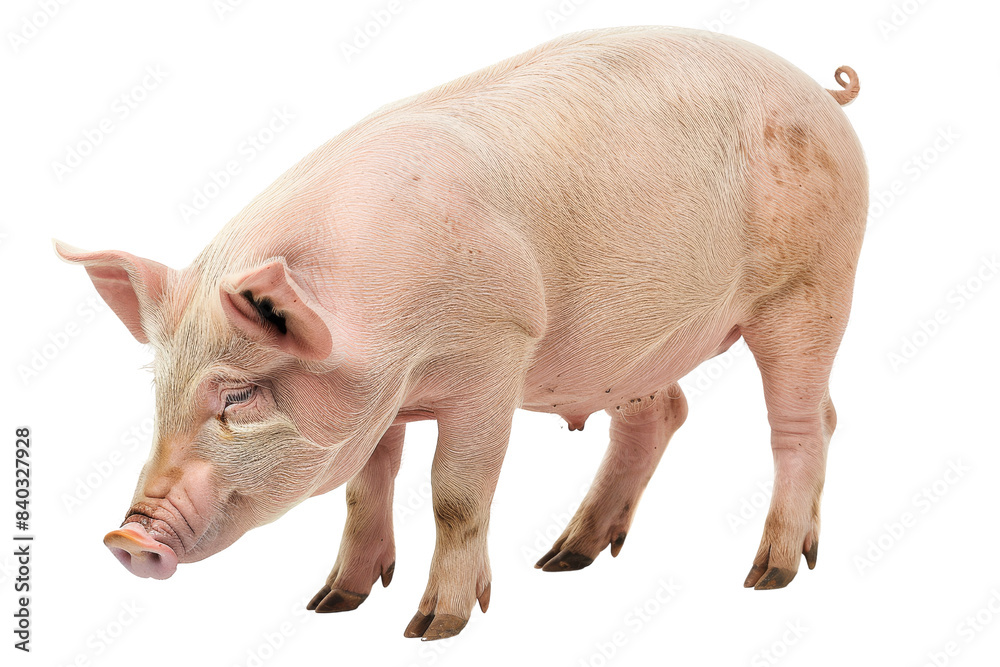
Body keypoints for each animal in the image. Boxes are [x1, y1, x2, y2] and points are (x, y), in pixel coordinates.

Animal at [54, 25, 866, 640]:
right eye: (160, 395)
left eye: (240, 397)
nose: (126, 537)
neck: (394, 353)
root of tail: (823, 94)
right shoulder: (376, 402)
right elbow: (365, 488)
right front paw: (330, 605)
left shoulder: (495, 353)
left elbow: (455, 493)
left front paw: (431, 627)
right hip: (633, 345)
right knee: (663, 413)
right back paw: (564, 559)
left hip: (815, 284)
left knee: (808, 420)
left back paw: (768, 574)